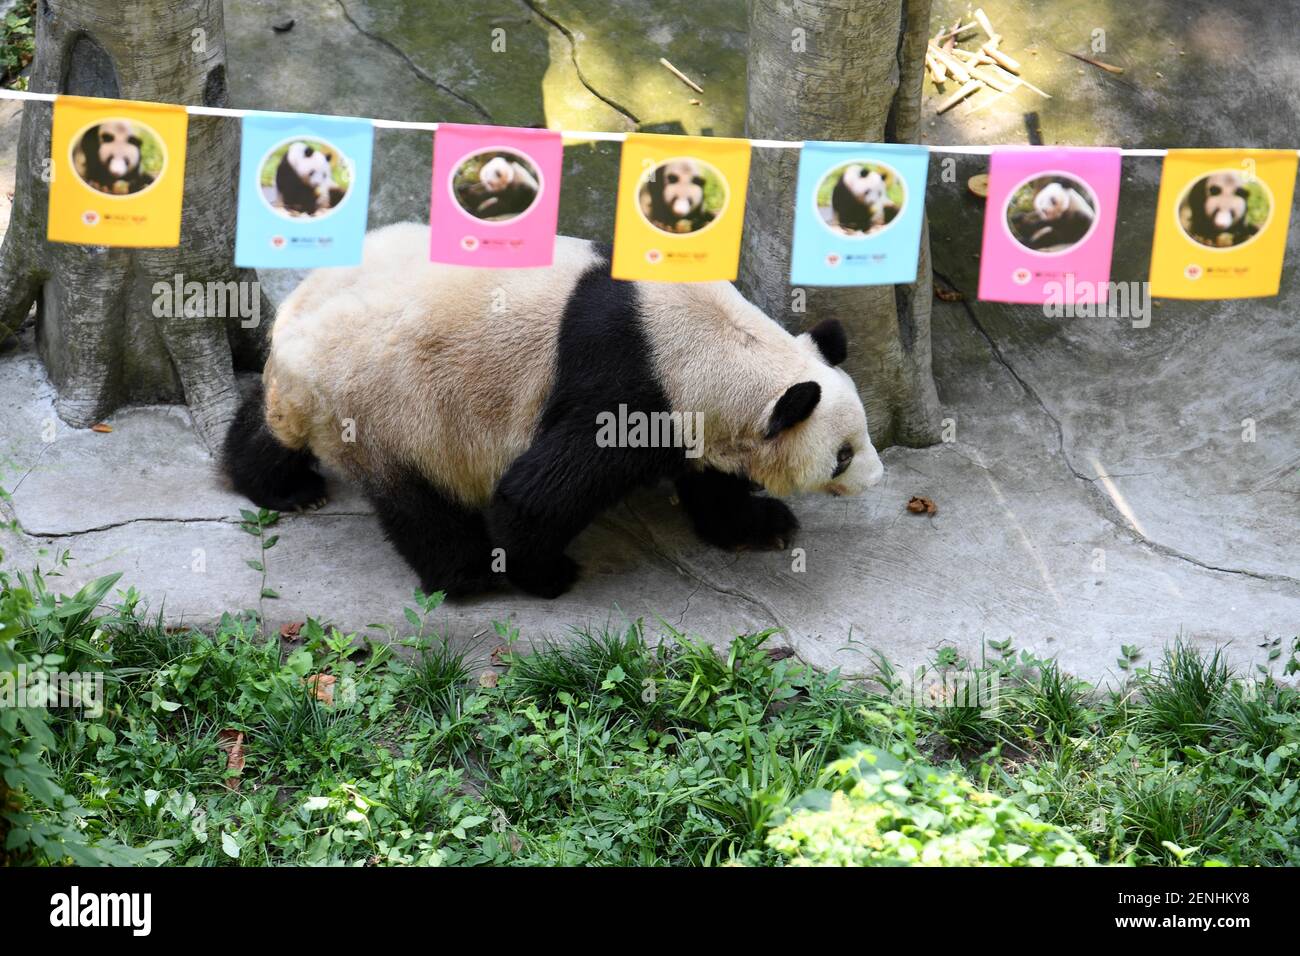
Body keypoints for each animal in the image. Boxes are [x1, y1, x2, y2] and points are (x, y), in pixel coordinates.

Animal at [221, 223, 885, 599]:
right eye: (841, 455)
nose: (877, 477)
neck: (720, 343)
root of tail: (298, 352)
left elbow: (712, 480)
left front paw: (761, 524)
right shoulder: (631, 389)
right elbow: (537, 494)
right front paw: (544, 573)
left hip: (316, 385)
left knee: (272, 423)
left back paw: (278, 484)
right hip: (392, 407)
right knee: (420, 499)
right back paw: (467, 575)